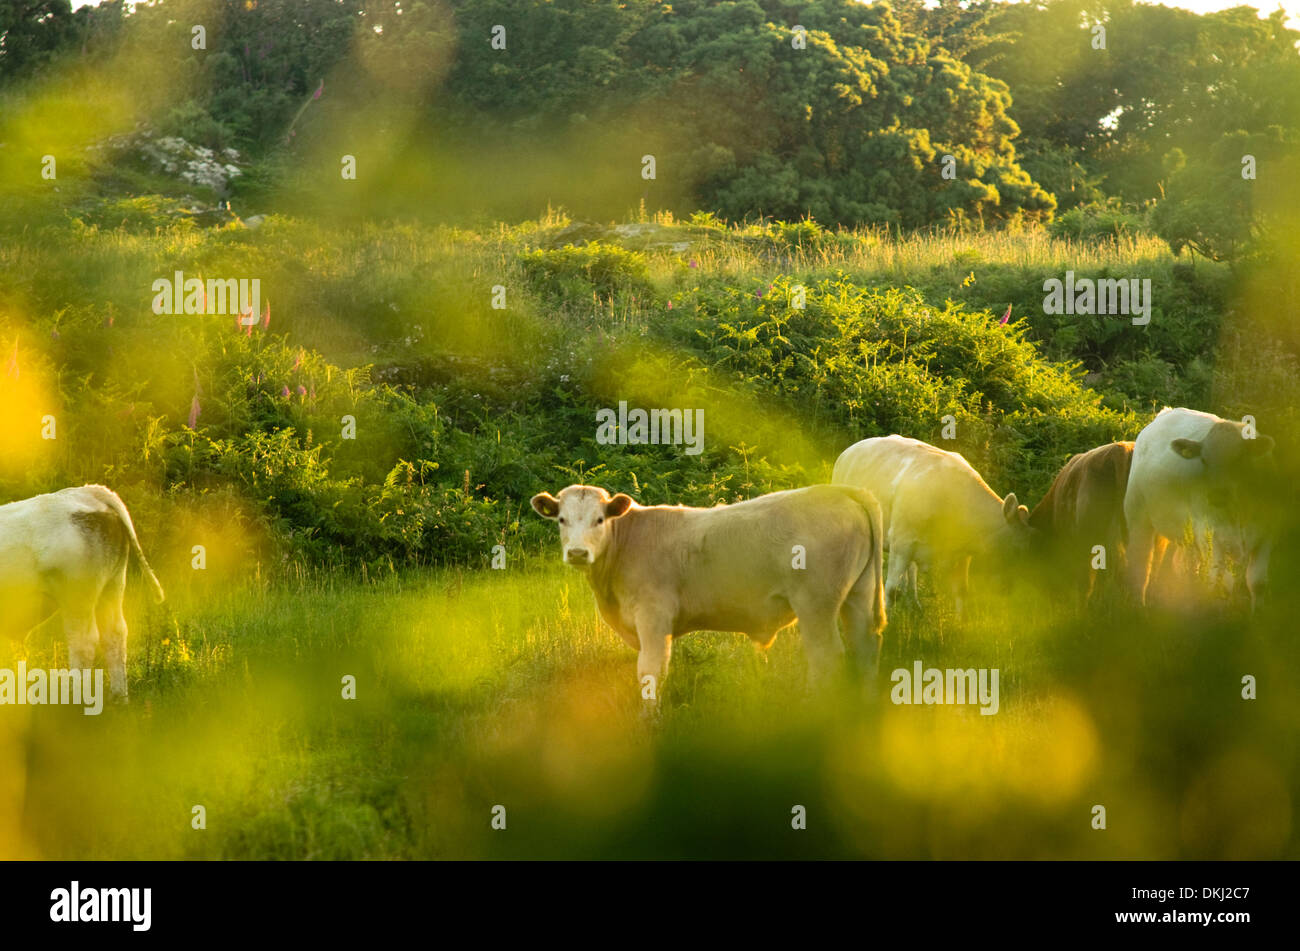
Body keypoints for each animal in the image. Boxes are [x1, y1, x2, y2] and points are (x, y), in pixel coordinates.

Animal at [0, 485, 164, 702]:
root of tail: (88, 492)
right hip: (113, 585)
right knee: (115, 635)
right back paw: (119, 697)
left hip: (77, 596)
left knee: (83, 643)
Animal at [530, 484, 887, 706]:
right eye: (561, 519)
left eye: (599, 519)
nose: (577, 553)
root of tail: (843, 490)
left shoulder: (653, 618)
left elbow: (650, 673)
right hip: (859, 594)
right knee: (866, 651)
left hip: (816, 605)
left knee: (827, 659)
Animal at [831, 435, 1032, 614]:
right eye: (1017, 549)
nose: (1010, 590)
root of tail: (849, 451)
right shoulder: (901, 543)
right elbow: (892, 590)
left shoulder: (961, 553)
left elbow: (961, 592)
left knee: (911, 571)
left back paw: (914, 602)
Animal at [1124, 407, 1275, 609]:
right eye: (1204, 460)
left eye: (1239, 459)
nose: (1217, 495)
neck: (1238, 511)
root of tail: (1166, 412)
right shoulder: (1210, 535)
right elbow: (1221, 583)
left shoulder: (1265, 533)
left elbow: (1258, 582)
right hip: (1138, 515)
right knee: (1140, 565)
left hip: (1186, 536)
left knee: (1182, 567)